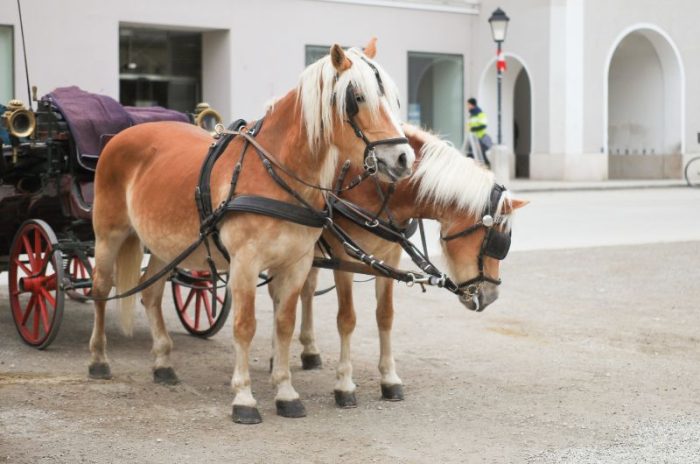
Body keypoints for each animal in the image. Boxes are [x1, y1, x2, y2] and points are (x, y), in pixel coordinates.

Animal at [88, 40, 415, 424]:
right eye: (358, 98)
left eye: (394, 99)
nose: (404, 159)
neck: (276, 171)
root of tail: (119, 136)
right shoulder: (244, 263)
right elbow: (245, 326)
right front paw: (244, 398)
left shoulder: (296, 264)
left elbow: (285, 323)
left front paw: (286, 392)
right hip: (108, 235)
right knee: (100, 290)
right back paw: (98, 359)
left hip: (167, 246)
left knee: (151, 293)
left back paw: (163, 363)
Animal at [297, 124, 527, 407]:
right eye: (496, 239)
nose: (492, 296)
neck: (378, 188)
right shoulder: (344, 258)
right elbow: (347, 319)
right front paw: (344, 384)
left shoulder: (389, 256)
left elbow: (385, 315)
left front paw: (389, 378)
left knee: (304, 290)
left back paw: (308, 350)